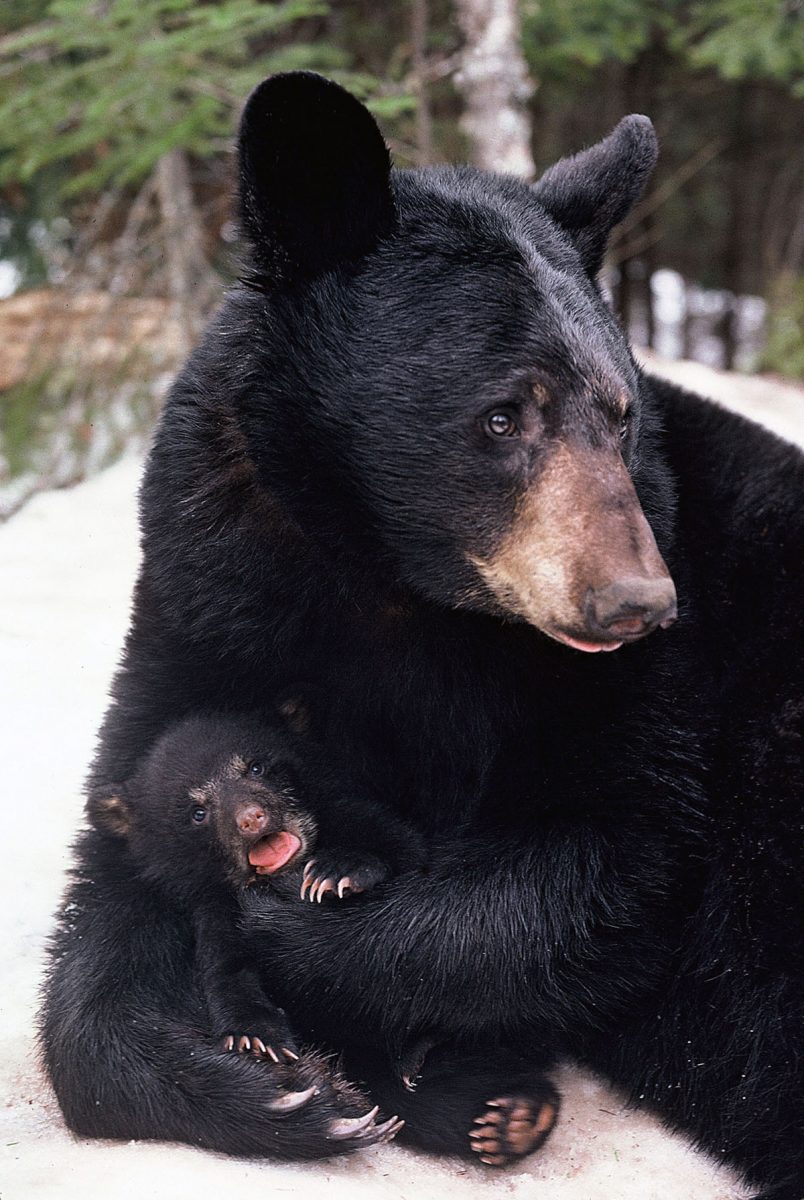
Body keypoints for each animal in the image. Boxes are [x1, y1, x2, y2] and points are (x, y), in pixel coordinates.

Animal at [40, 72, 803, 1196]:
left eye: (620, 413)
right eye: (503, 415)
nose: (637, 602)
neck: (395, 585)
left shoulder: (629, 684)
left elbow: (602, 870)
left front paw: (297, 933)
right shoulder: (212, 595)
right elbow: (116, 864)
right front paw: (275, 1093)